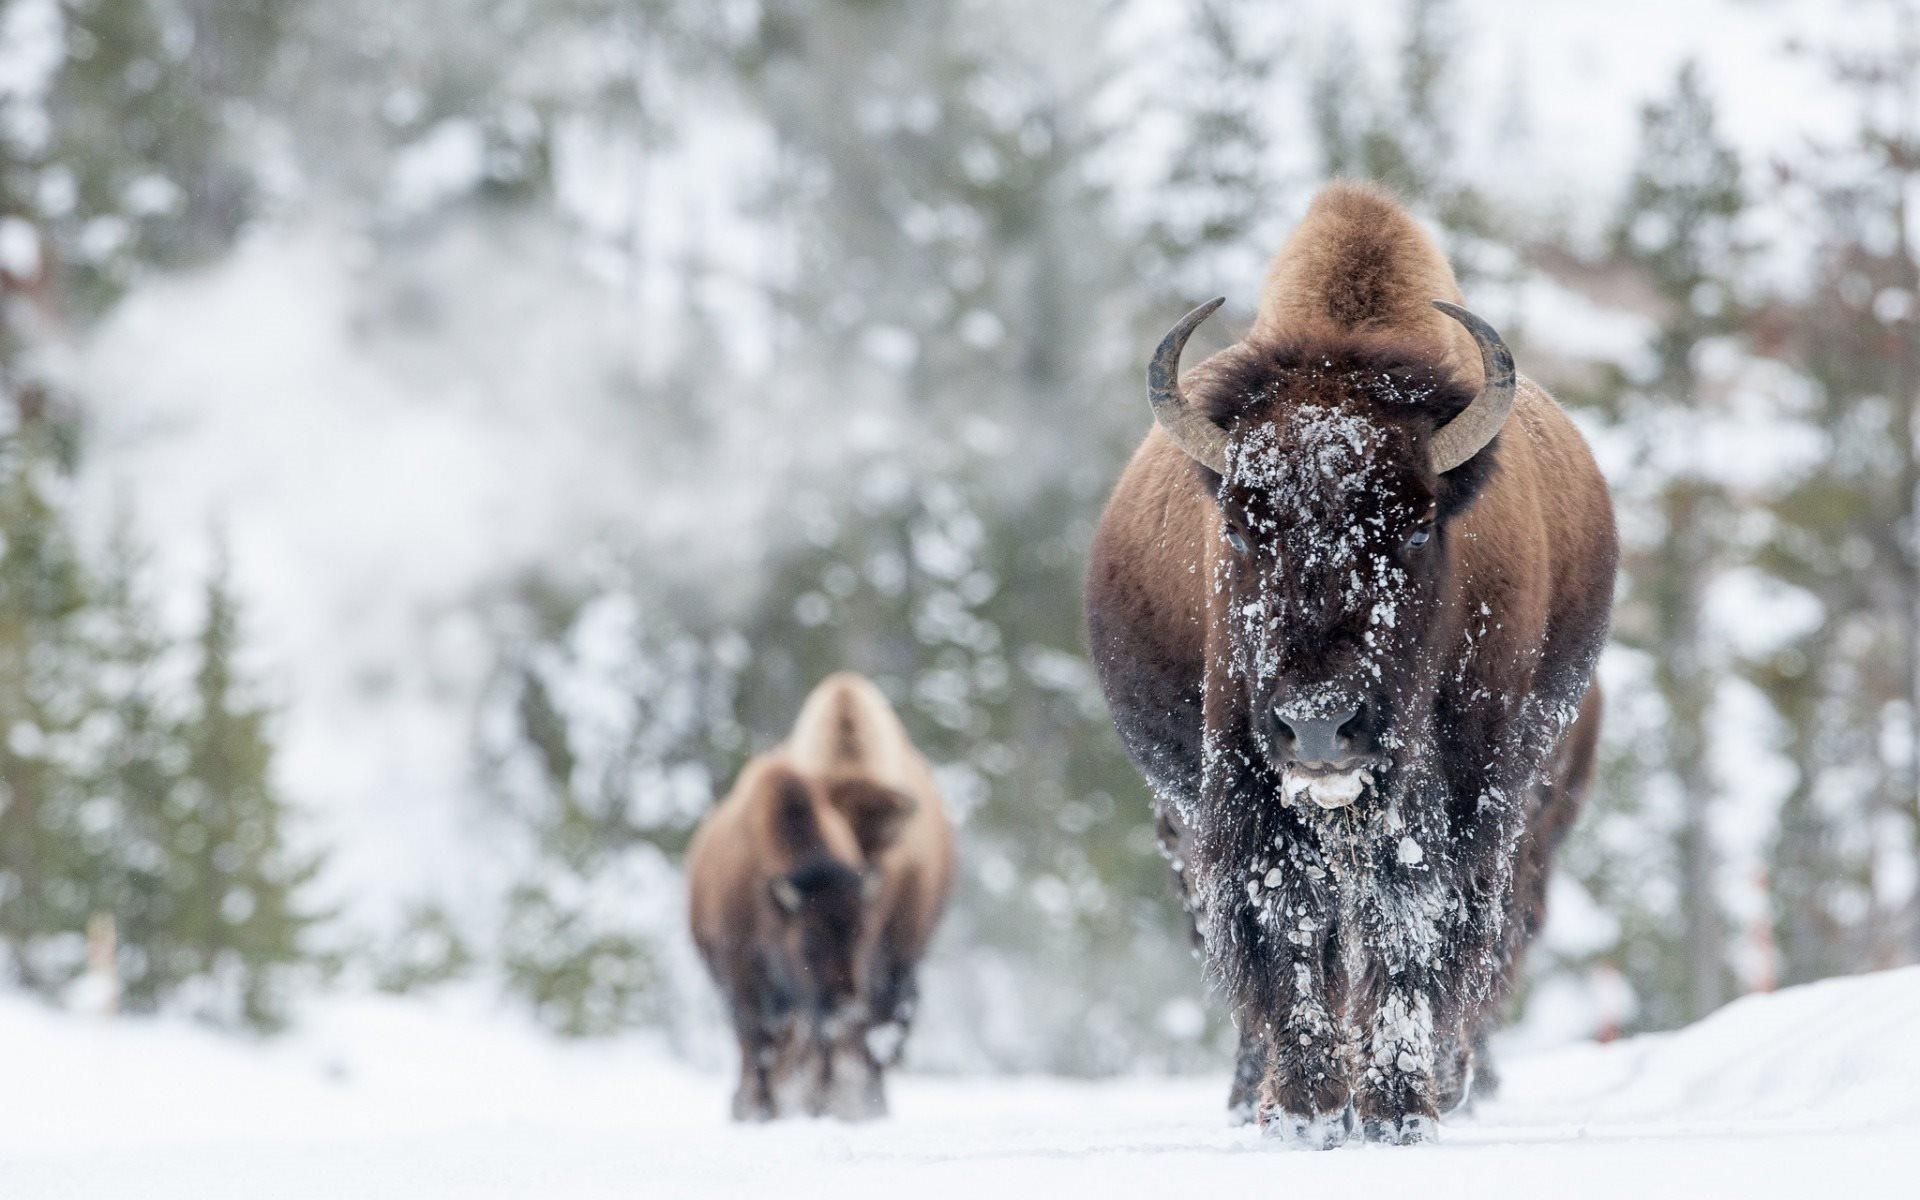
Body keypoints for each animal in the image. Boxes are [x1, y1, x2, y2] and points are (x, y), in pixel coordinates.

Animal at [1086, 183, 1616, 1146]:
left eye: (1413, 524)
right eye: (1242, 528)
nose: (1320, 726)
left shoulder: (1462, 800)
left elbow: (1413, 930)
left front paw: (1399, 1107)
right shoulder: (1245, 792)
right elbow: (1288, 923)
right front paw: (1304, 1109)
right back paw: (1254, 1096)